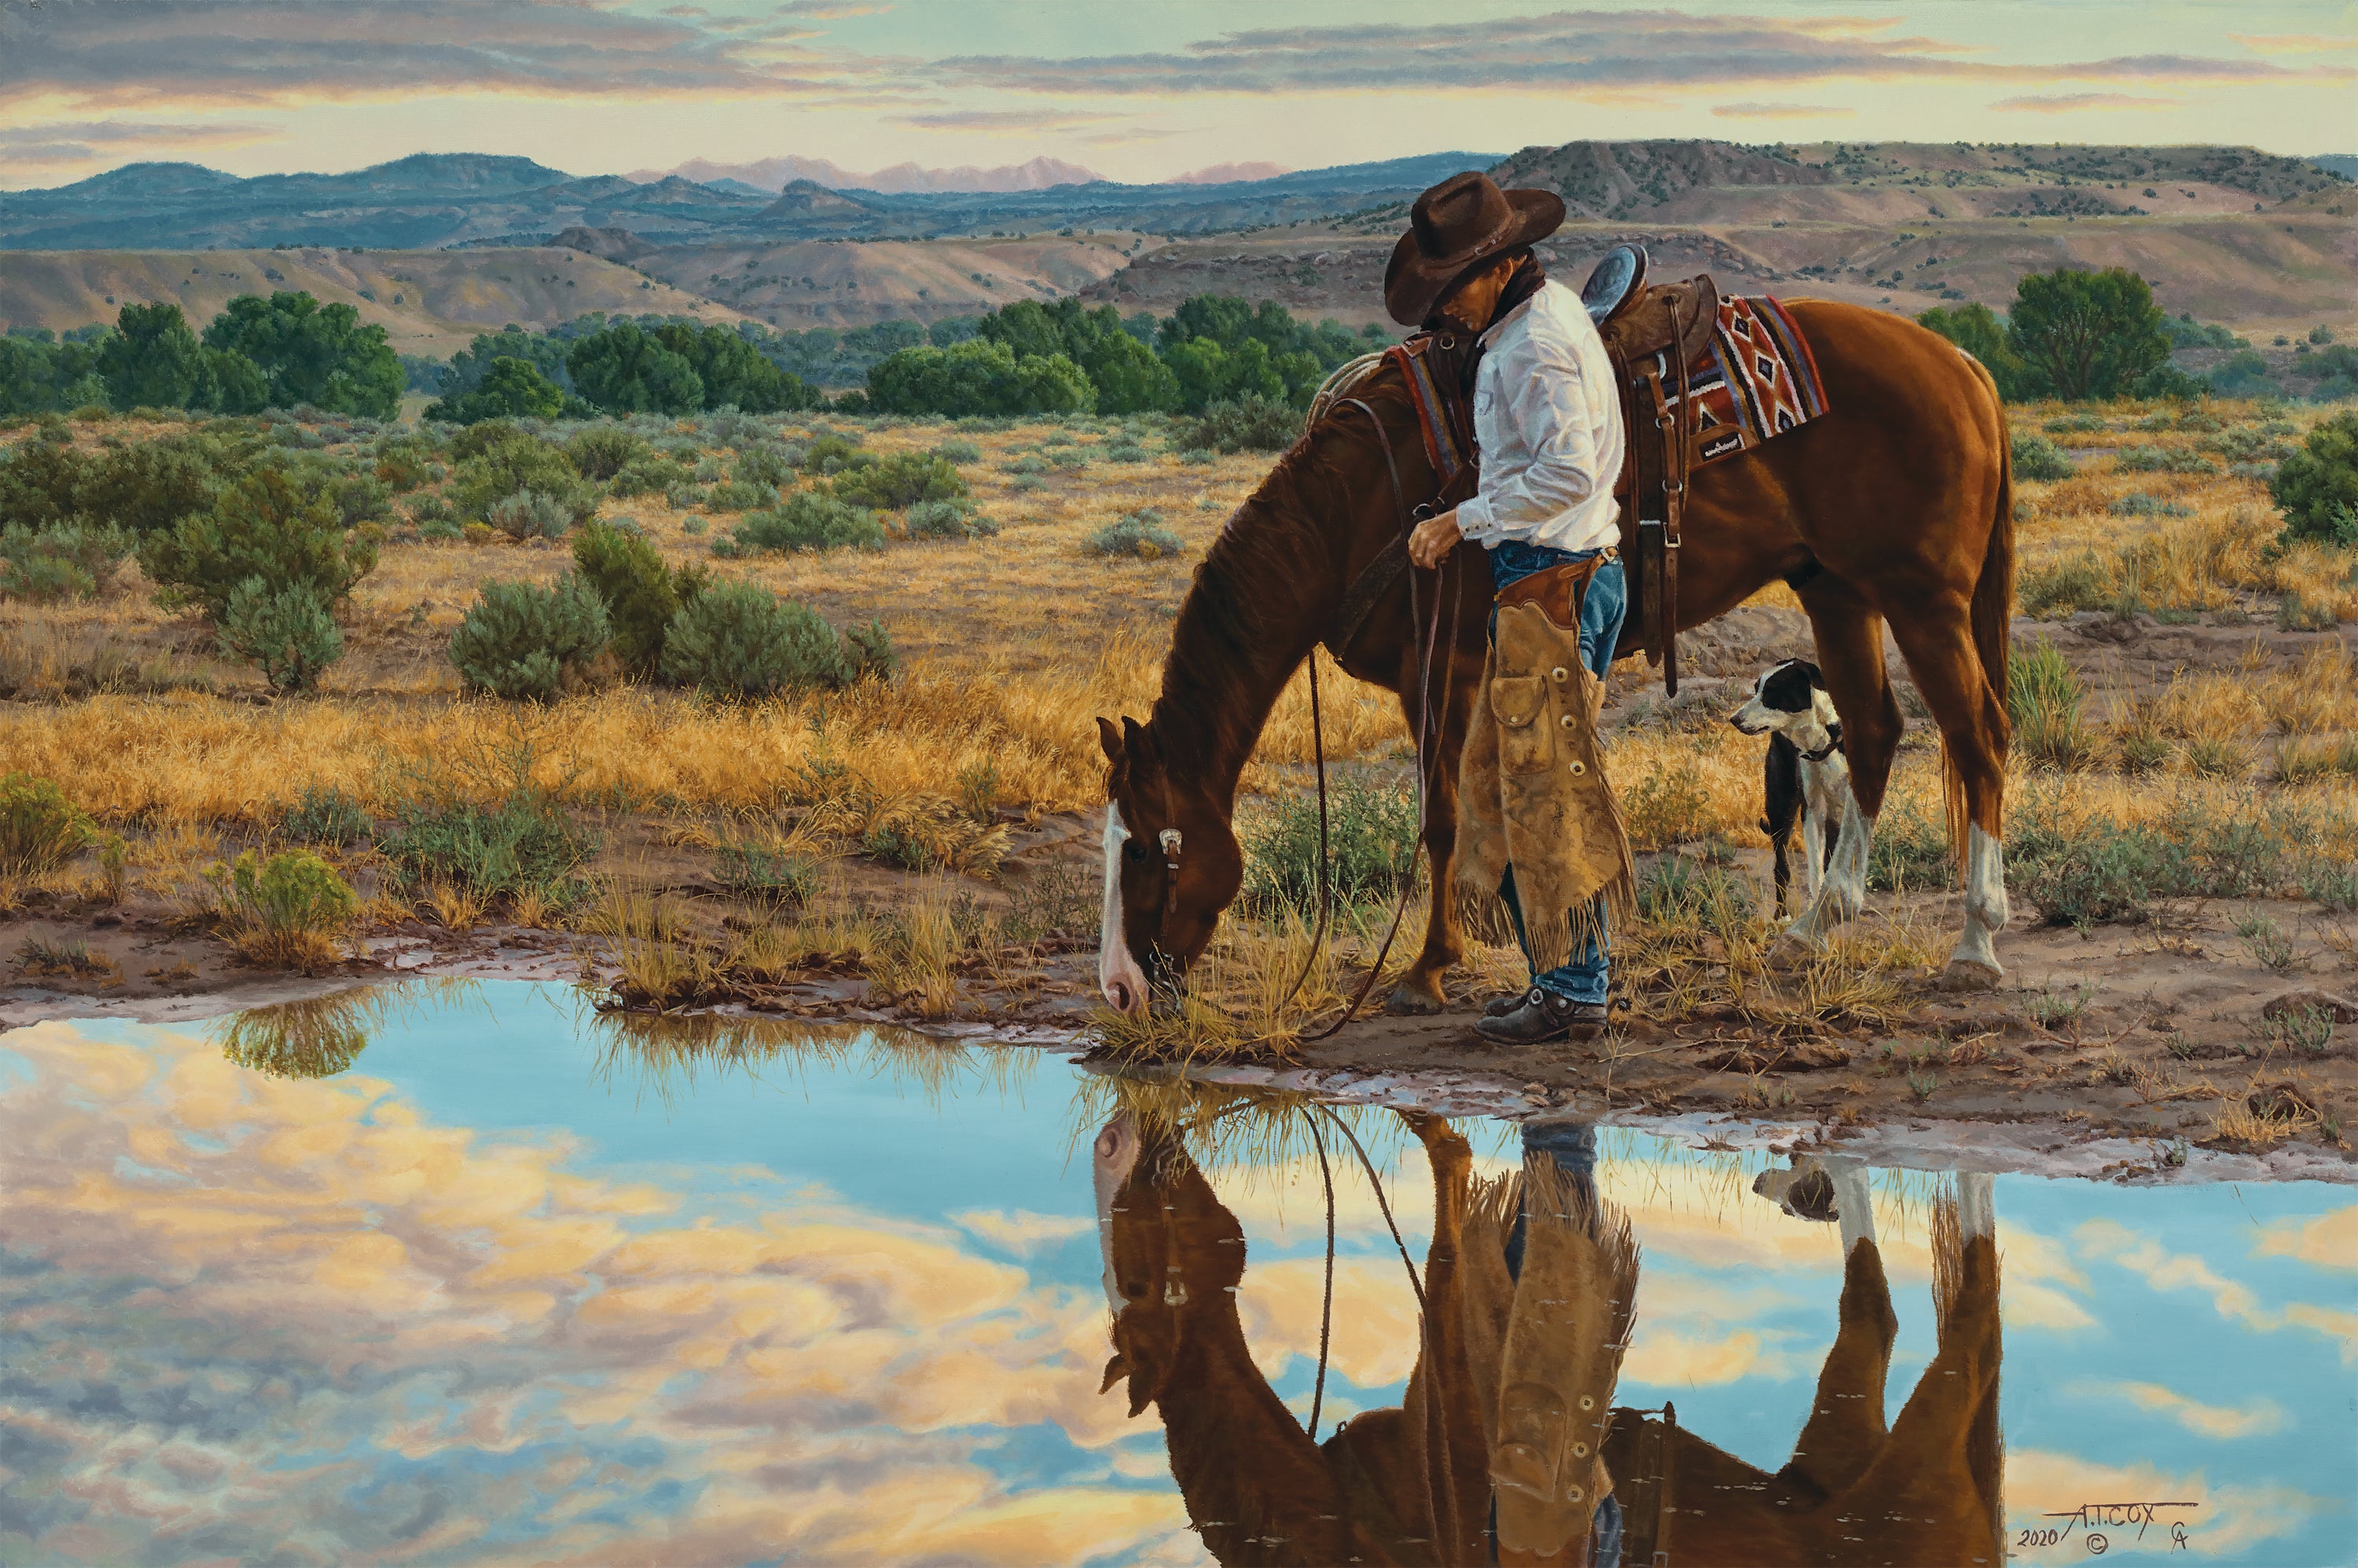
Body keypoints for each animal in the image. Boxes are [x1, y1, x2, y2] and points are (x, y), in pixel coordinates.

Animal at [1096, 299, 2014, 1017]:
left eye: (1140, 848)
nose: (1120, 990)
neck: (1359, 511)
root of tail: (1964, 364)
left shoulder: (1442, 672)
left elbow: (1444, 821)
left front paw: (1428, 970)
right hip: (1837, 590)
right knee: (1875, 729)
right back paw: (1817, 925)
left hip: (1924, 598)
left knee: (1977, 738)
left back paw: (1975, 942)